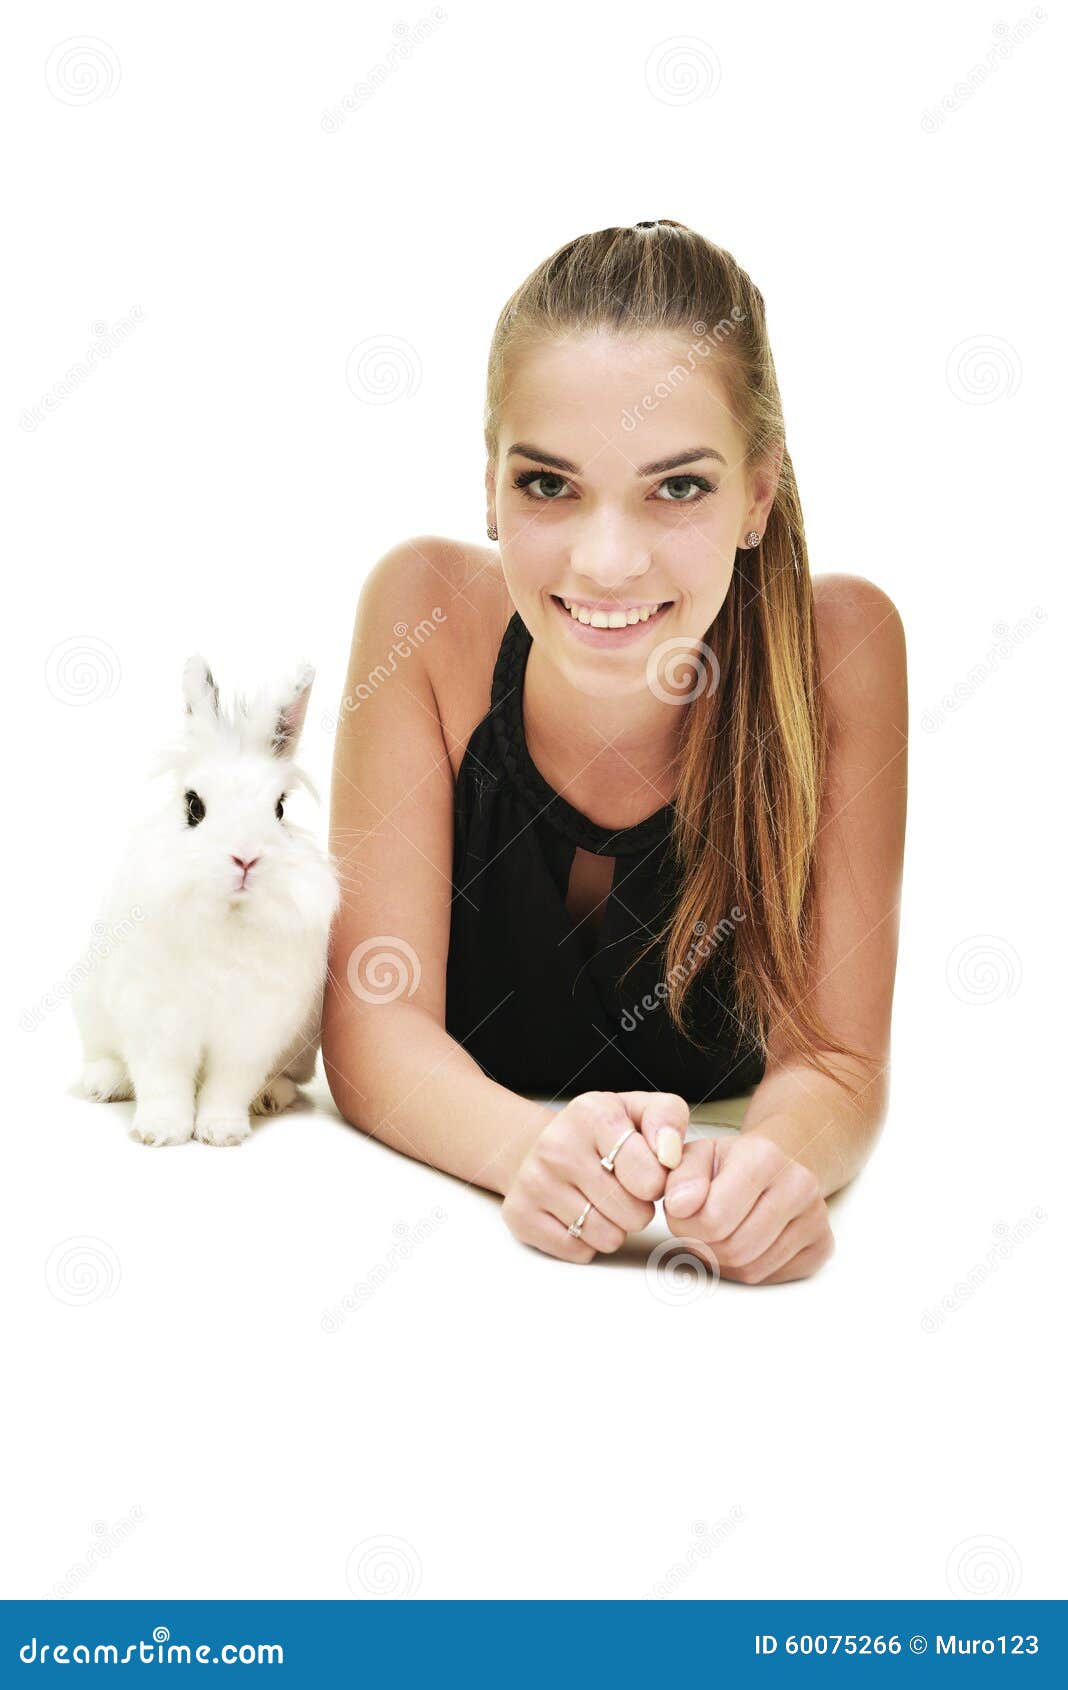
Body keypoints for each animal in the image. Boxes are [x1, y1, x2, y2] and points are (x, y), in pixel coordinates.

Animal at [71, 653, 341, 1146]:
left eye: (279, 808)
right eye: (194, 806)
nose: (246, 857)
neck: (227, 916)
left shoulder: (251, 1032)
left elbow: (227, 1086)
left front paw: (221, 1133)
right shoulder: (156, 1022)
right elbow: (163, 1082)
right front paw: (161, 1132)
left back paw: (270, 1098)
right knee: (106, 1057)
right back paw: (105, 1085)